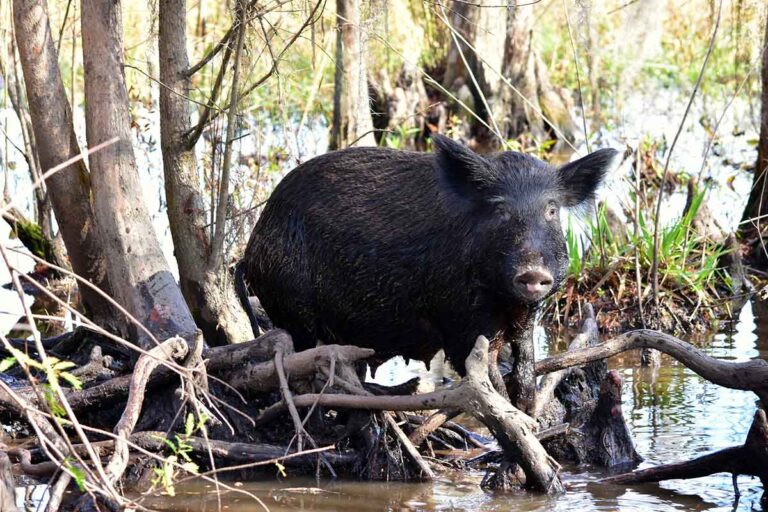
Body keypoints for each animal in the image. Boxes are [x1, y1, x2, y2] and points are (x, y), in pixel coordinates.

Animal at [239, 135, 616, 412]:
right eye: (500, 210)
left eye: (551, 210)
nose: (532, 271)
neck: (503, 300)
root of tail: (252, 245)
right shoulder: (460, 320)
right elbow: (489, 382)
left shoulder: (525, 318)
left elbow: (524, 370)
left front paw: (533, 415)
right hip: (291, 303)